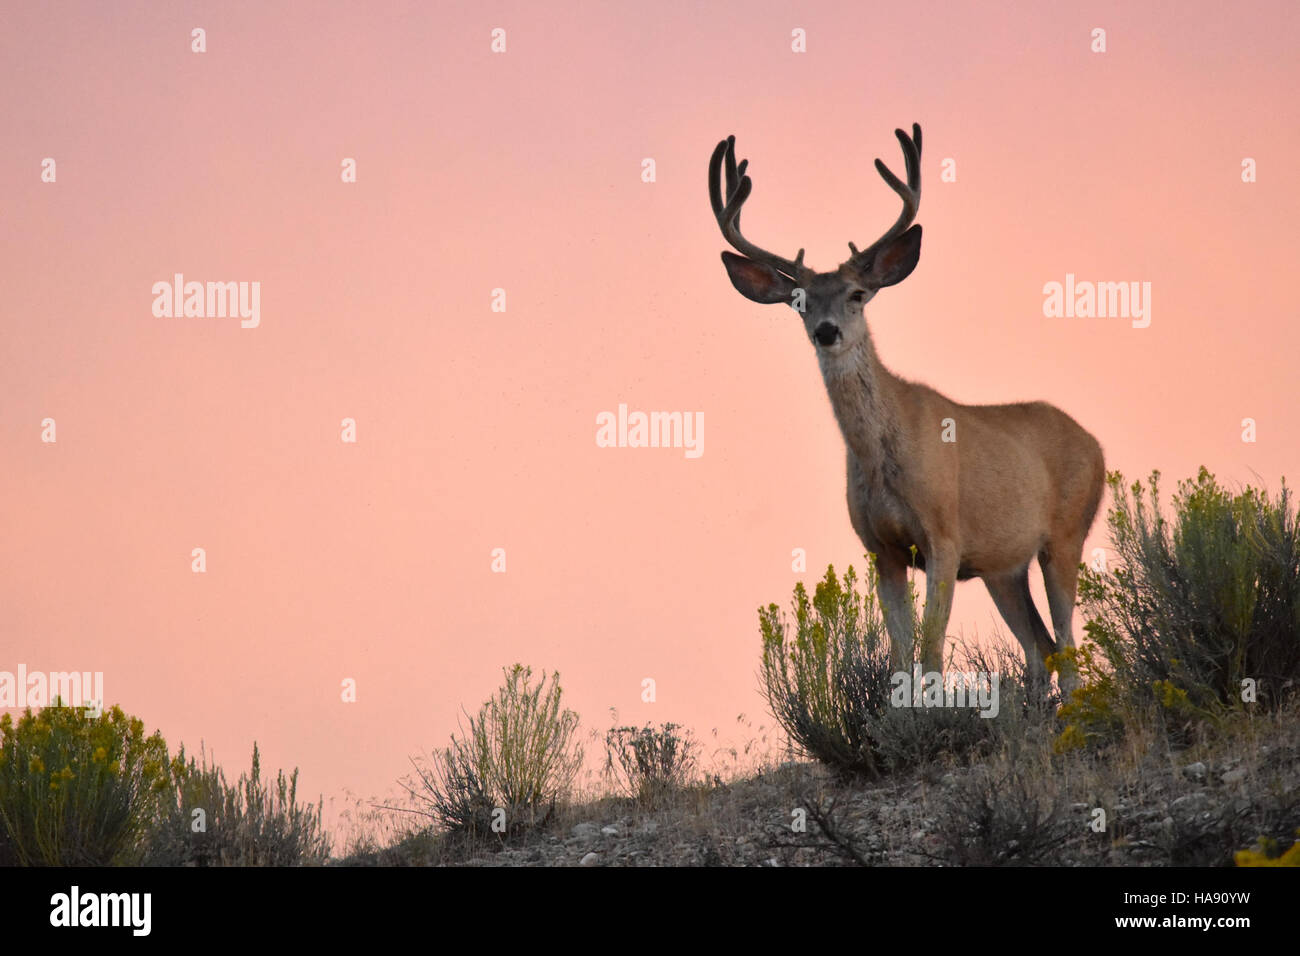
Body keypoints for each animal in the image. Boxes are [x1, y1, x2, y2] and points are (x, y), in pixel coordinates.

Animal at [709, 123, 1105, 693]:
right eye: (800, 300)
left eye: (857, 293)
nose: (826, 331)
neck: (882, 460)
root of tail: (1097, 445)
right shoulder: (882, 548)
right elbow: (898, 653)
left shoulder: (944, 534)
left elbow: (932, 647)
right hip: (1003, 566)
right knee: (1042, 649)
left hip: (1066, 532)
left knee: (1068, 651)